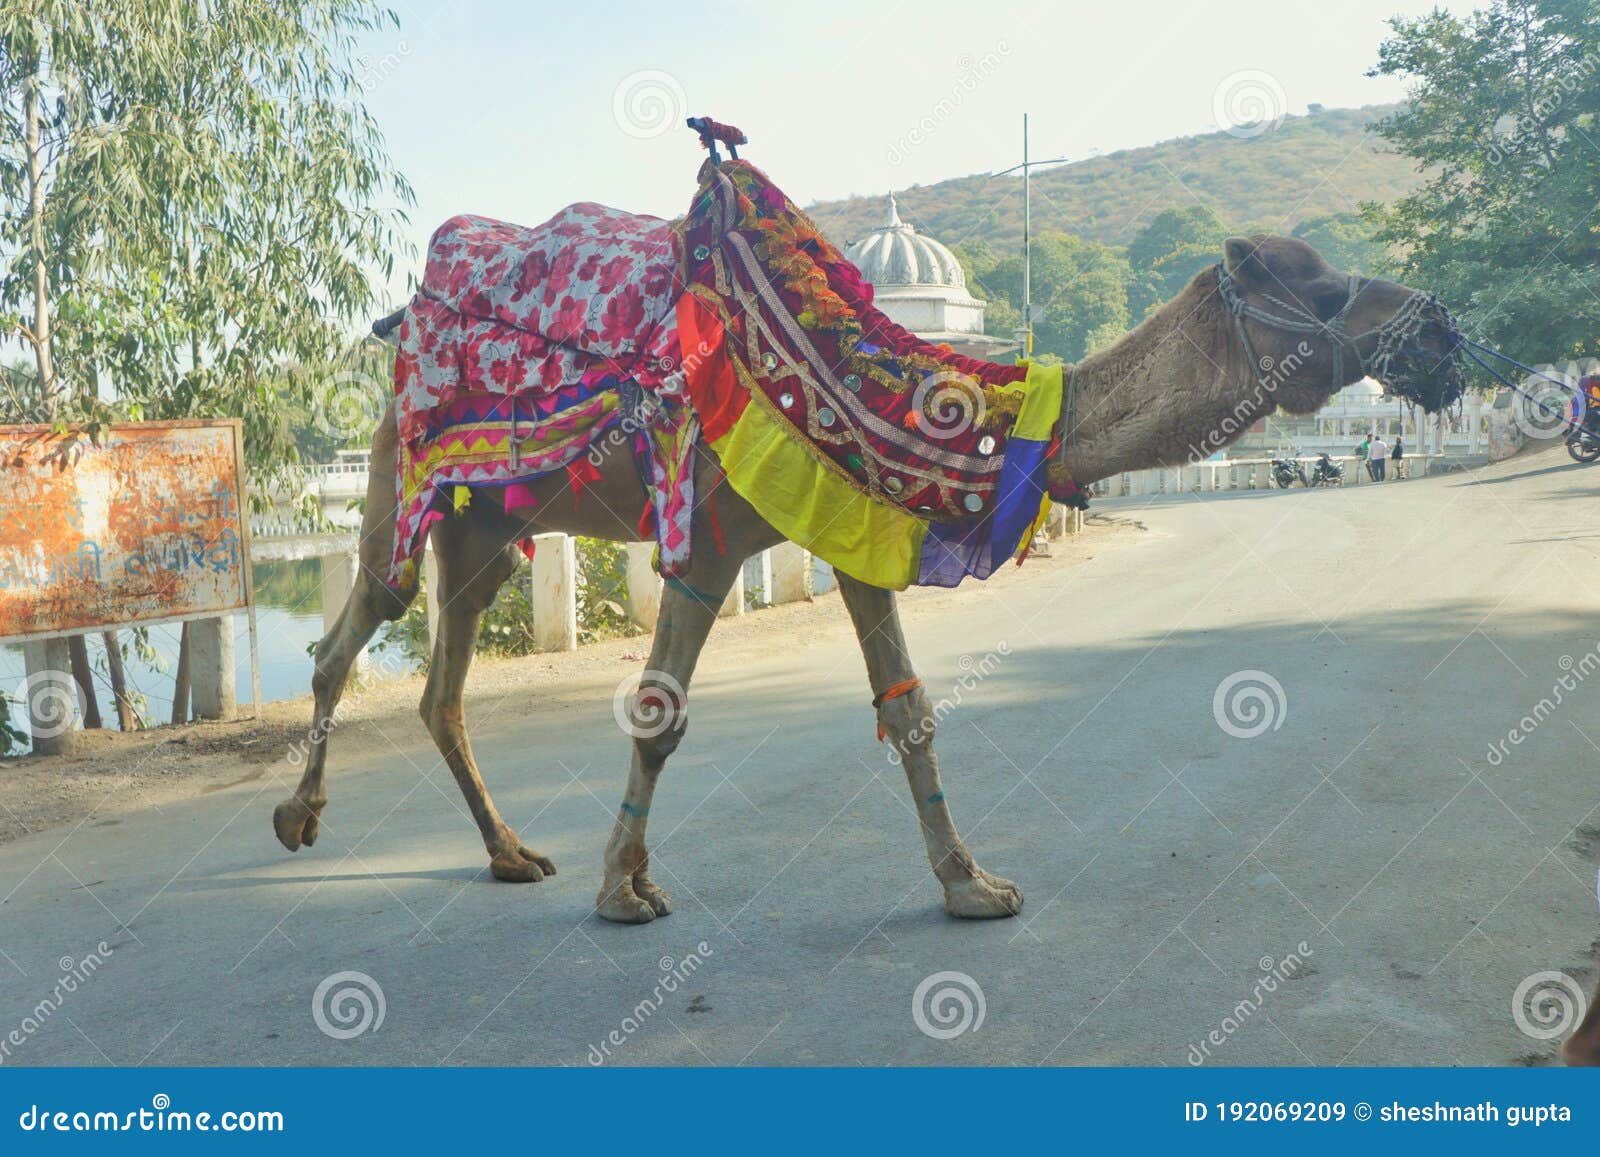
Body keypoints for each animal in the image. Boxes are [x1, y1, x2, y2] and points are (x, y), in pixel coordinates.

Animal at [272, 233, 1460, 924]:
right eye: (1318, 282)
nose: (1439, 326)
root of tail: (404, 324)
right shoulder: (708, 540)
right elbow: (660, 713)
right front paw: (624, 886)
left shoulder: (853, 537)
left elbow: (911, 709)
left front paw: (972, 883)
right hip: (404, 470)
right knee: (355, 629)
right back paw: (298, 817)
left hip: (485, 528)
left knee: (440, 684)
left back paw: (512, 852)